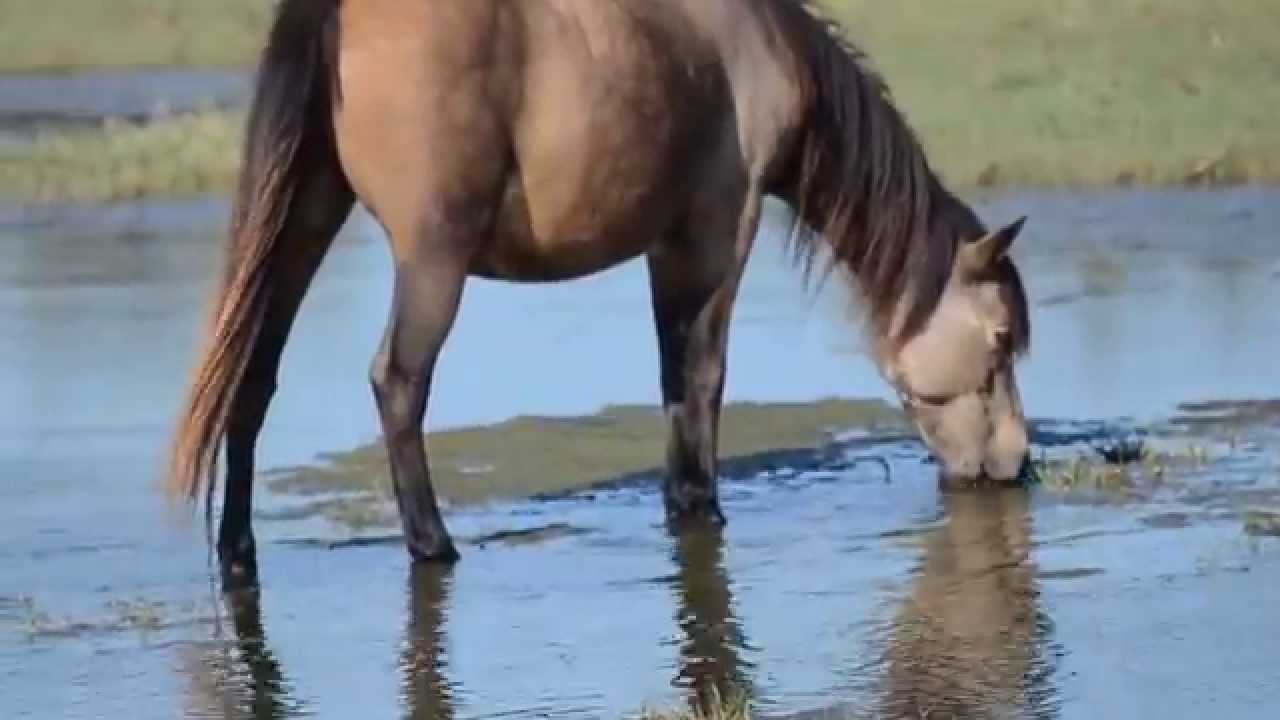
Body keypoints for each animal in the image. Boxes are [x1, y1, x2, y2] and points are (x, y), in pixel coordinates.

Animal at [165, 0, 1033, 590]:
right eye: (998, 339)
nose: (1018, 463)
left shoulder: (666, 245)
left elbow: (674, 379)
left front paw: (683, 503)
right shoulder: (719, 231)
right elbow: (703, 377)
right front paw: (701, 503)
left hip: (306, 217)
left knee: (253, 376)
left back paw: (237, 557)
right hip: (432, 255)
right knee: (399, 383)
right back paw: (432, 543)